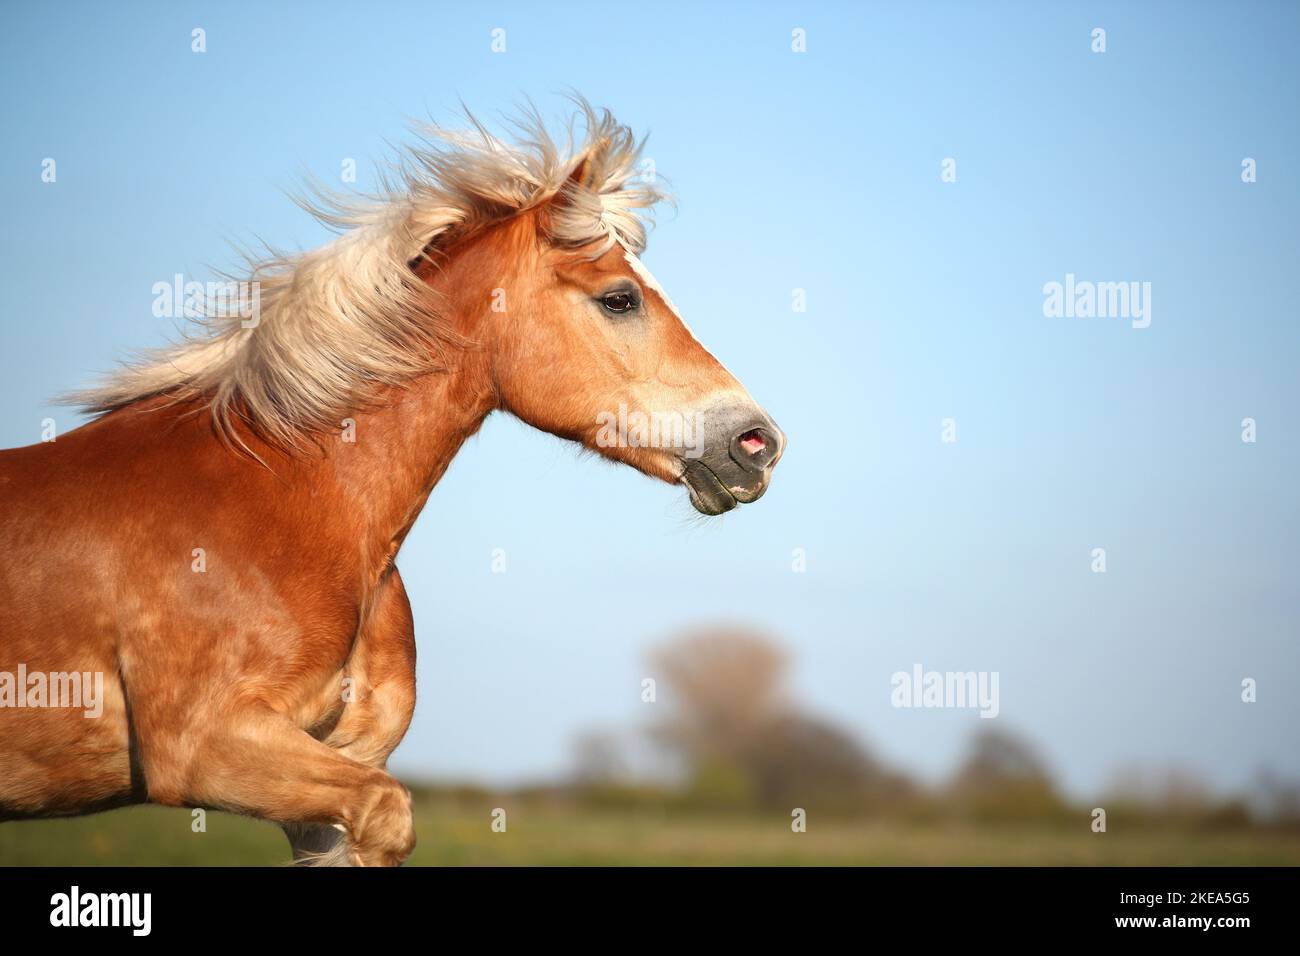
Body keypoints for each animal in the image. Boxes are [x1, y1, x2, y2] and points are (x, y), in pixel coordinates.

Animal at [0, 101, 785, 865]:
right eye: (620, 299)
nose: (758, 442)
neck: (287, 502)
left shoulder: (331, 775)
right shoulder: (201, 747)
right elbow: (389, 811)